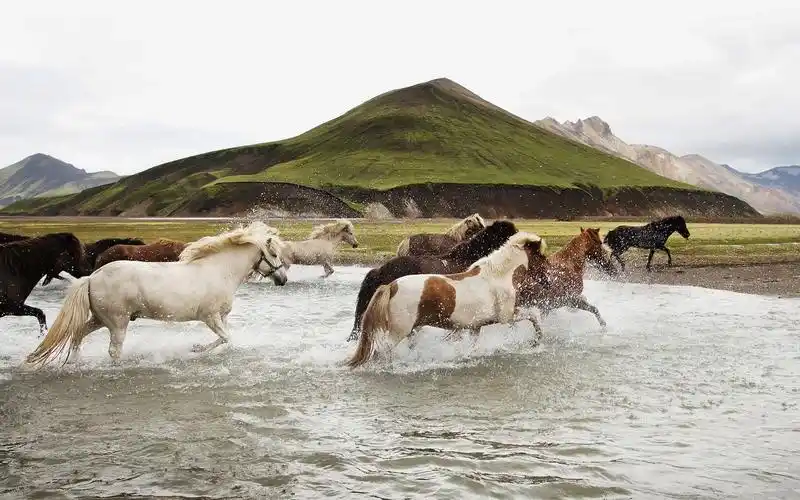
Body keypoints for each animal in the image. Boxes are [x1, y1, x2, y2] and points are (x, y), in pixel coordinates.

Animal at [24, 221, 288, 368]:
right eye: (274, 254)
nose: (283, 279)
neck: (220, 269)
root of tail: (92, 277)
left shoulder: (222, 317)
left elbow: (228, 340)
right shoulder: (210, 316)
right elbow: (225, 338)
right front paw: (195, 349)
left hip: (100, 319)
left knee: (78, 333)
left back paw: (75, 362)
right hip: (117, 322)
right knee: (113, 350)